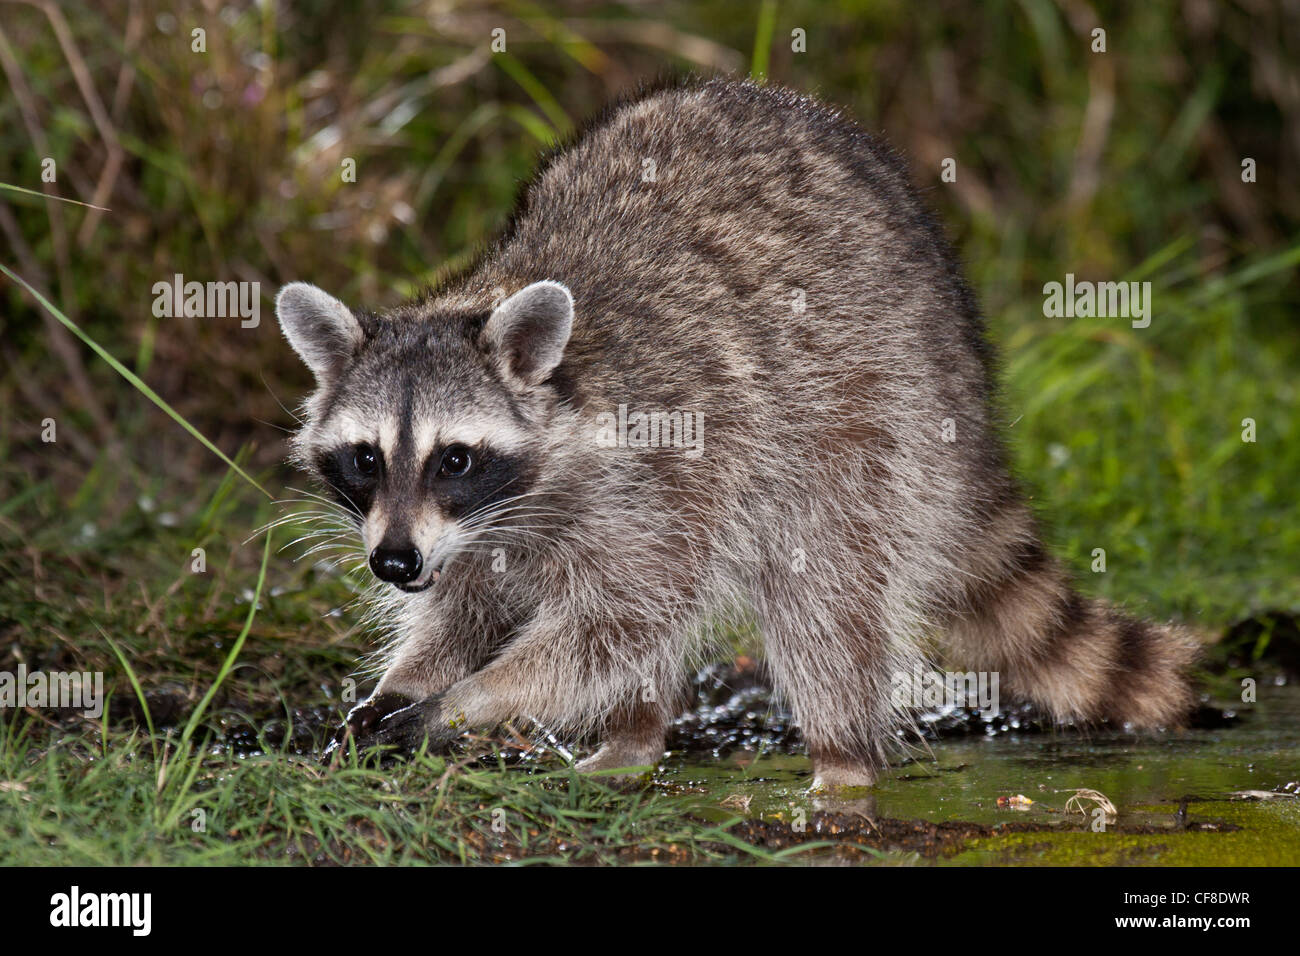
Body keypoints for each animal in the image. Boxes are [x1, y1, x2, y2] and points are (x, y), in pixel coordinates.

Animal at [276, 77, 1200, 788]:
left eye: (455, 459)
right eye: (365, 458)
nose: (393, 564)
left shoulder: (647, 480)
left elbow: (612, 627)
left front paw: (474, 699)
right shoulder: (468, 539)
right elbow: (467, 614)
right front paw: (407, 682)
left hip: (871, 418)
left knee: (823, 591)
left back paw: (840, 759)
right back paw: (636, 737)